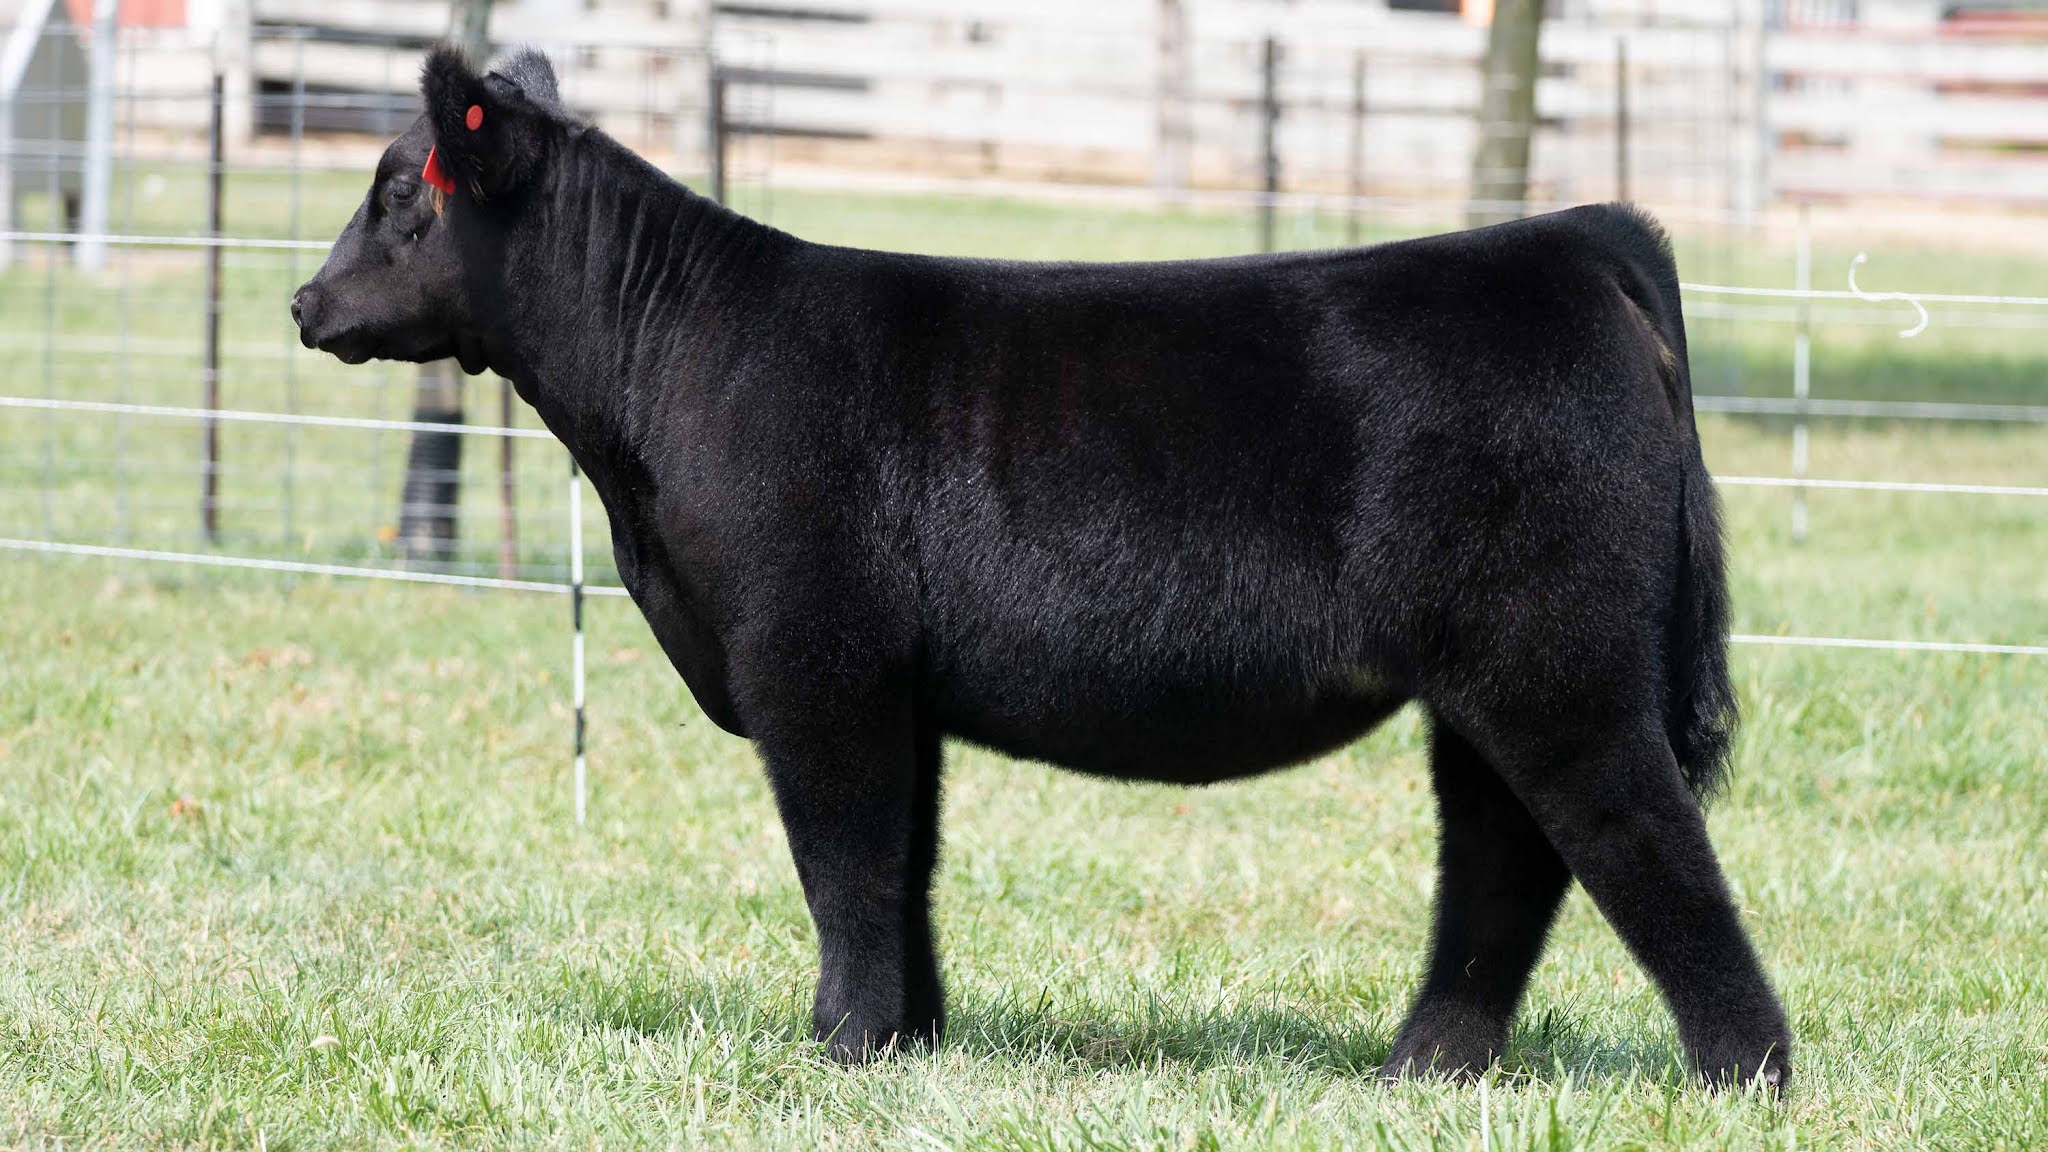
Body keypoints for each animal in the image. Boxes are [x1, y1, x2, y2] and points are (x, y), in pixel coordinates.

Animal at [291, 47, 1790, 1089]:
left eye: (396, 190)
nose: (305, 302)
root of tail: (1570, 237)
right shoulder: (894, 686)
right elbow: (904, 865)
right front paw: (909, 1038)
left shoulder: (814, 661)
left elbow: (843, 859)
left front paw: (839, 1046)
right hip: (1482, 685)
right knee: (1501, 855)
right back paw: (1423, 1066)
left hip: (1552, 667)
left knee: (1633, 839)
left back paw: (1742, 1073)